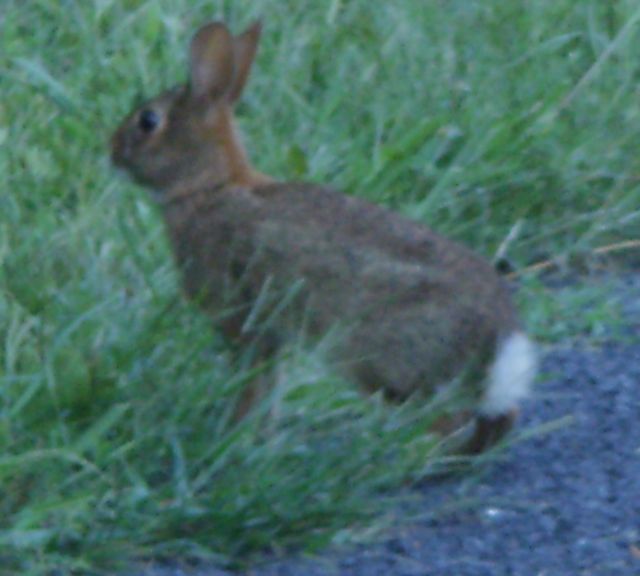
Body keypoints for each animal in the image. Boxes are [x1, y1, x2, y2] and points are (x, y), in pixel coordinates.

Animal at [111, 20, 537, 453]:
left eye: (148, 121)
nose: (112, 153)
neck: (210, 186)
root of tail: (499, 343)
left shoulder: (240, 317)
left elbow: (252, 383)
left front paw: (235, 437)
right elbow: (269, 387)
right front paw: (257, 439)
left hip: (379, 358)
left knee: (446, 421)